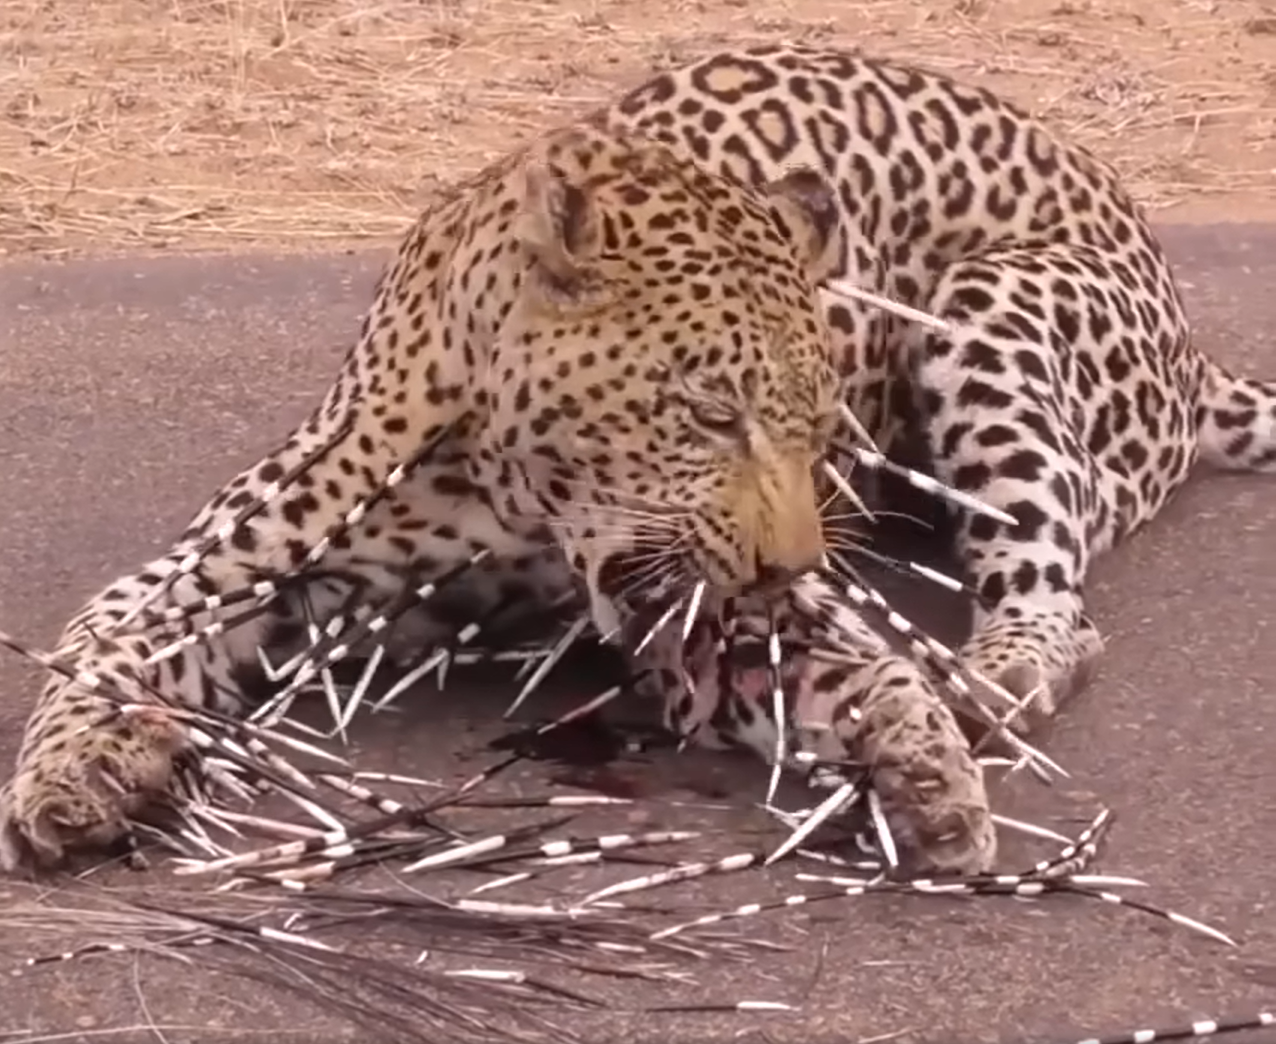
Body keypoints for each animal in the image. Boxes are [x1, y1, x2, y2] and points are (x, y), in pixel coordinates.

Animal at [3, 43, 1274, 880]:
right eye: (706, 414)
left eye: (815, 424)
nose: (784, 566)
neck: (520, 500)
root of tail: (1191, 342)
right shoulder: (223, 567)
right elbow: (98, 646)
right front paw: (73, 779)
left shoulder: (729, 627)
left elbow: (858, 673)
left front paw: (920, 768)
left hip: (990, 306)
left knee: (1056, 603)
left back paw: (989, 680)